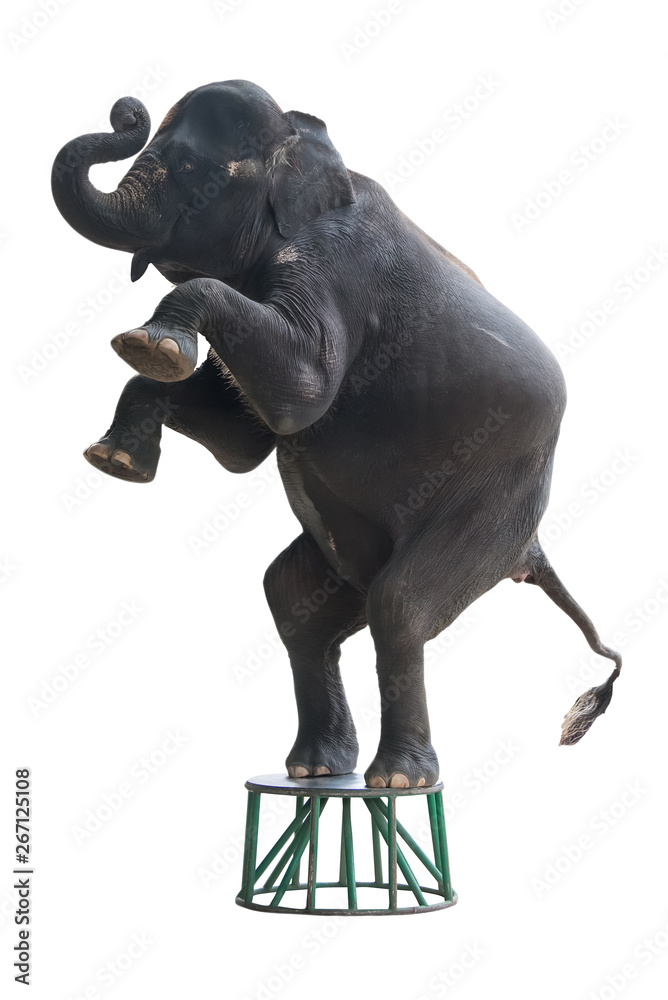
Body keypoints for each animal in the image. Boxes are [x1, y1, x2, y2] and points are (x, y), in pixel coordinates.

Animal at [52, 79, 621, 788]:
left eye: (186, 167)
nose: (127, 108)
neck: (307, 152)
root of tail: (532, 550)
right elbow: (241, 442)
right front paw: (114, 460)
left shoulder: (341, 270)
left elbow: (303, 392)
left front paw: (147, 347)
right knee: (294, 598)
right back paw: (315, 771)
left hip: (495, 505)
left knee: (399, 605)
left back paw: (396, 781)